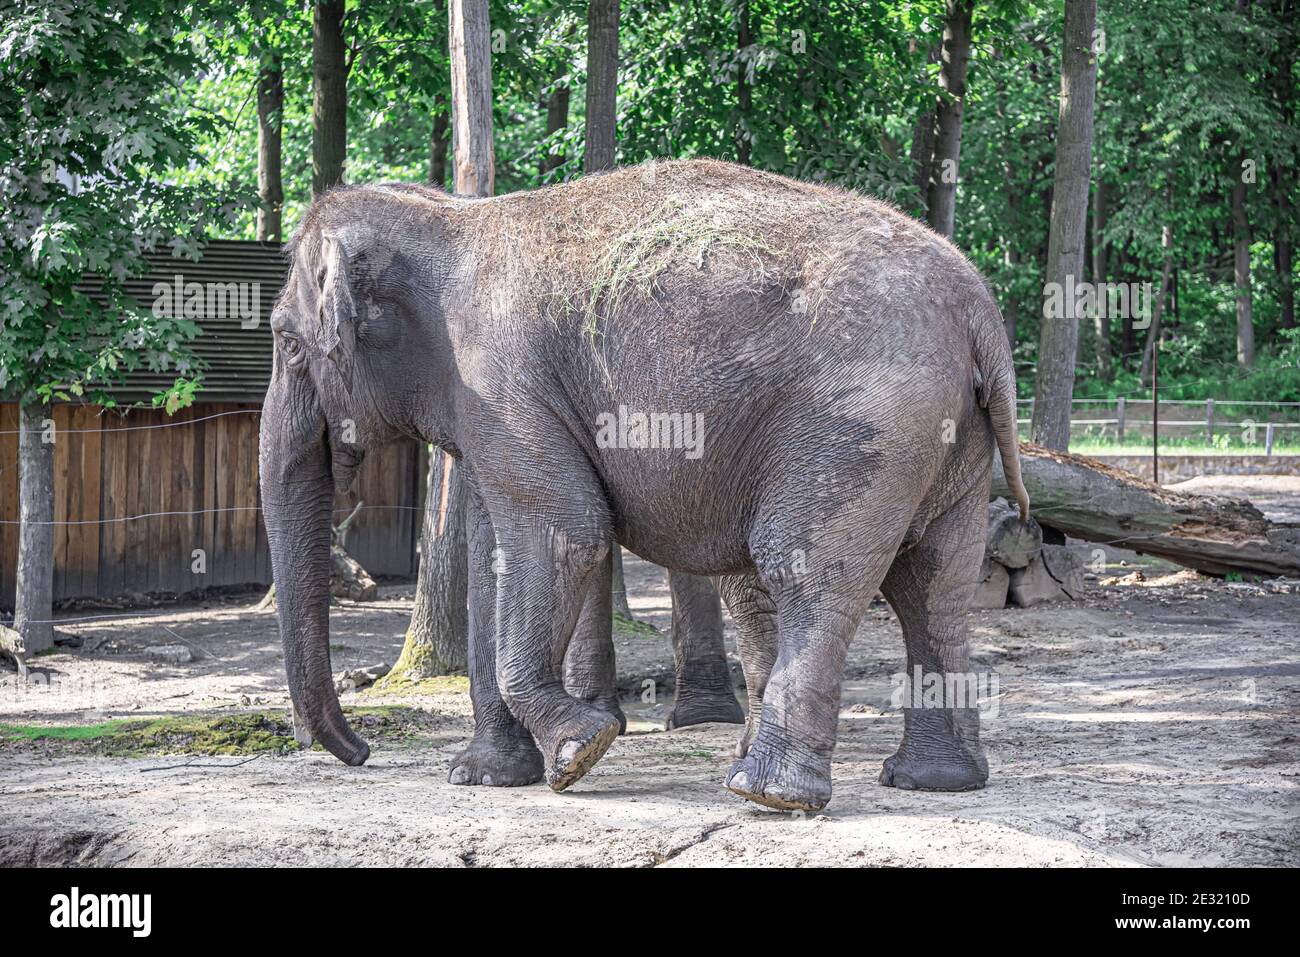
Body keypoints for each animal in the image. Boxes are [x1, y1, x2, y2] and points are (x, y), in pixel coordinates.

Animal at [259, 158, 1028, 812]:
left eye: (288, 342)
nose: (360, 752)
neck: (447, 216)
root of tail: (980, 310)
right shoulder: (487, 405)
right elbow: (495, 552)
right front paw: (485, 777)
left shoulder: (501, 380)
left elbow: (564, 535)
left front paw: (579, 750)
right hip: (952, 438)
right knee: (934, 584)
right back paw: (934, 781)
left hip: (863, 424)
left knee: (806, 569)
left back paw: (768, 794)